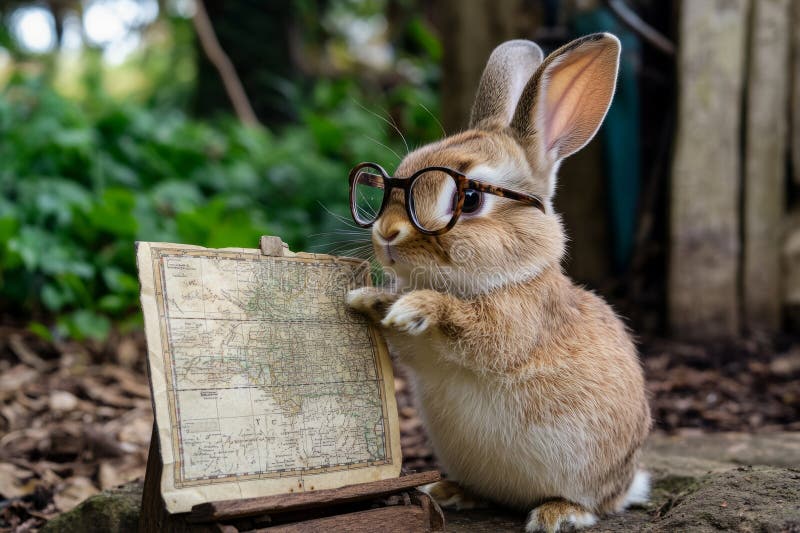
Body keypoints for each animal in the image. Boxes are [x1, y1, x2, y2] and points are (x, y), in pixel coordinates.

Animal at [346, 33, 651, 533]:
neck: (504, 277)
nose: (386, 234)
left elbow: (474, 329)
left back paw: (556, 514)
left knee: (595, 504)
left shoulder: (514, 325)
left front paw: (416, 307)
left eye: (469, 198)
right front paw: (369, 299)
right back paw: (448, 492)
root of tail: (629, 485)